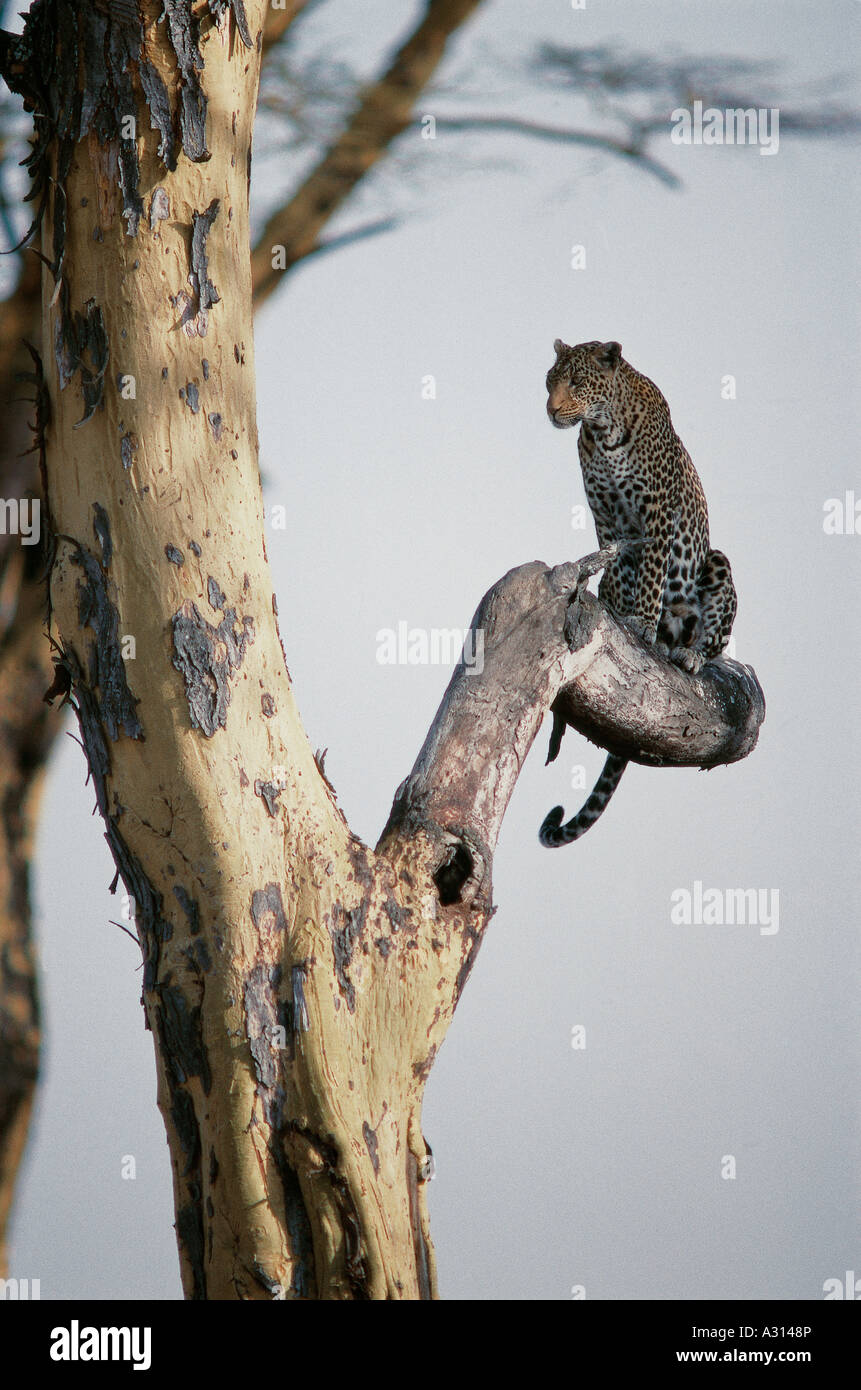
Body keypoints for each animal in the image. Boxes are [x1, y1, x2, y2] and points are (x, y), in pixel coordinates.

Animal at [539, 338, 737, 848]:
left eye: (576, 382)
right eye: (549, 382)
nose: (551, 409)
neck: (604, 431)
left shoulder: (656, 514)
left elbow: (650, 573)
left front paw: (641, 625)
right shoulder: (606, 517)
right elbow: (617, 569)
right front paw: (619, 615)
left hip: (718, 563)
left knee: (712, 642)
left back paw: (686, 651)